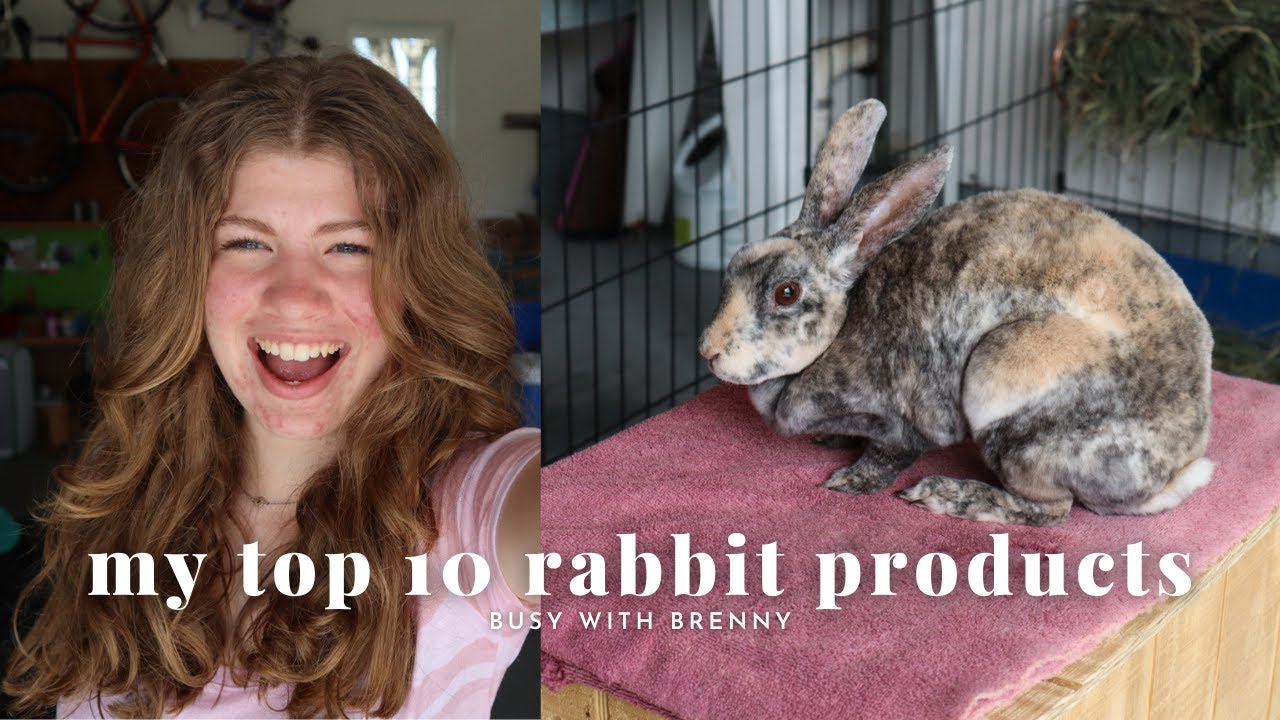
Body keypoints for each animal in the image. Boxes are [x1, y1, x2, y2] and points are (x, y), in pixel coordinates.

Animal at [697, 99, 1214, 526]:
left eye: (786, 293)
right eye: (734, 264)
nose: (708, 351)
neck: (837, 331)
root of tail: (1177, 467)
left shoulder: (904, 422)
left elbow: (888, 454)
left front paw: (849, 481)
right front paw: (835, 443)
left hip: (1008, 382)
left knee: (1051, 510)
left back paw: (945, 496)